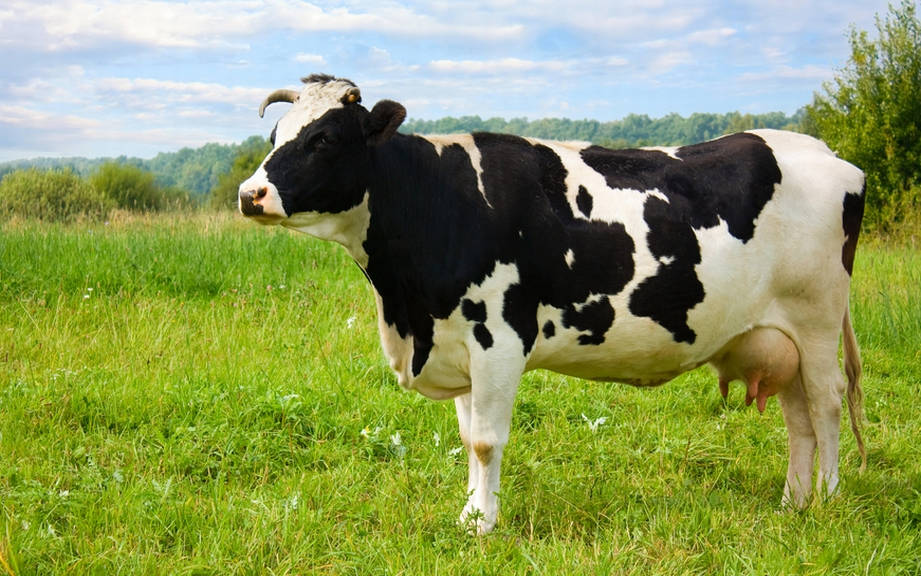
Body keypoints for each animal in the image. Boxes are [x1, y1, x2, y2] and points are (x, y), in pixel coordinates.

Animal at [238, 74, 867, 534]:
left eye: (324, 138)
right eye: (275, 139)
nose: (250, 193)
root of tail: (826, 152)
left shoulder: (499, 337)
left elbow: (487, 440)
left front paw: (484, 526)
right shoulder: (456, 342)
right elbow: (468, 438)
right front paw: (469, 514)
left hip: (816, 320)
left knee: (827, 403)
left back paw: (830, 499)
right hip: (778, 333)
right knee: (799, 417)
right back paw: (794, 502)